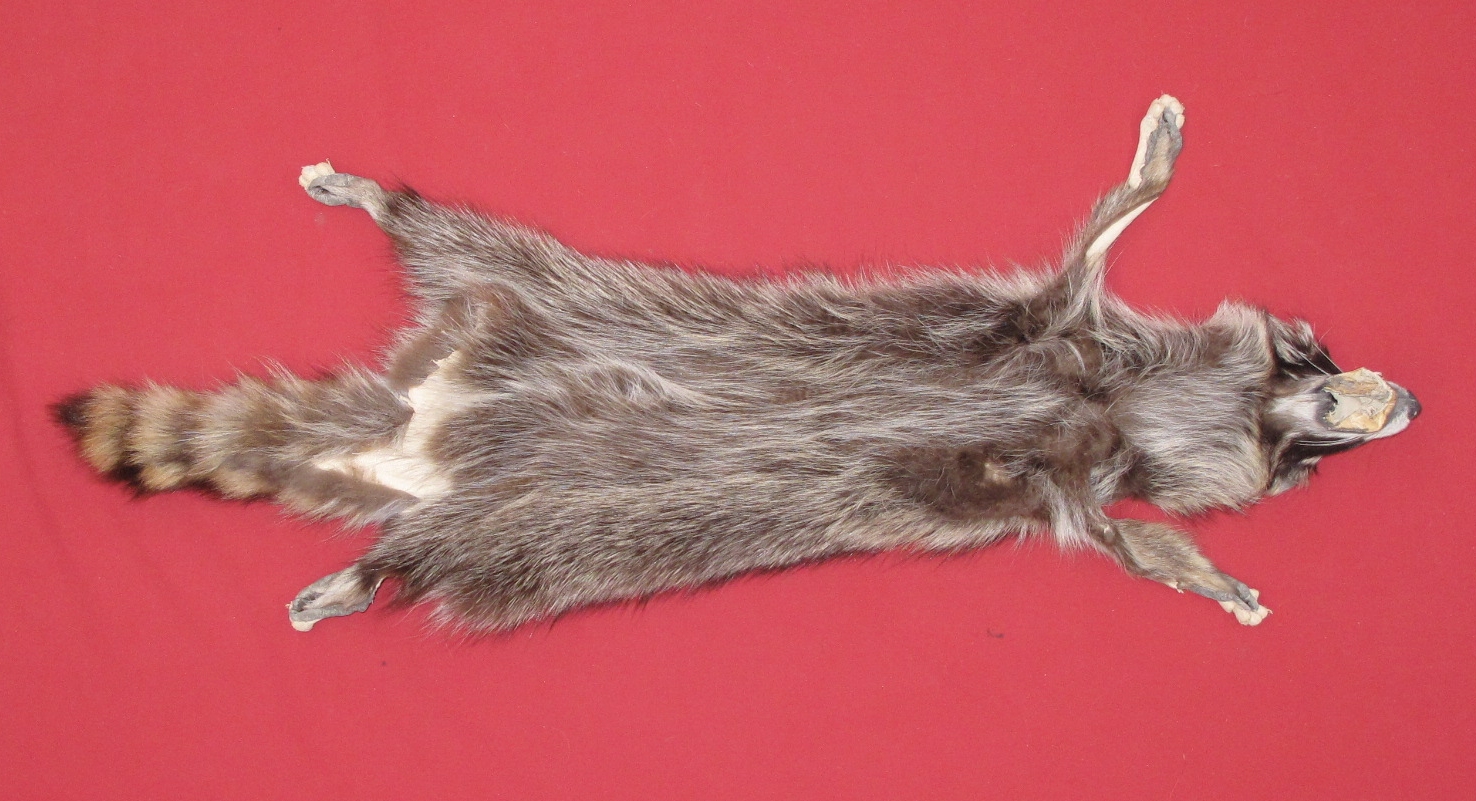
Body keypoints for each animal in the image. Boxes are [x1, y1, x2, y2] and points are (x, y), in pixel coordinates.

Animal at [54, 96, 1419, 632]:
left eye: (1309, 459)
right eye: (1314, 351)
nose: (1403, 397)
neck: (1142, 401)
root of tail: (412, 431)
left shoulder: (1079, 466)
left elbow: (1125, 536)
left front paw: (1208, 574)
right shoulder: (1062, 326)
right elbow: (1107, 230)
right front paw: (1154, 165)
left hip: (544, 519)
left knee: (457, 545)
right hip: (550, 300)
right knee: (453, 238)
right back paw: (383, 207)